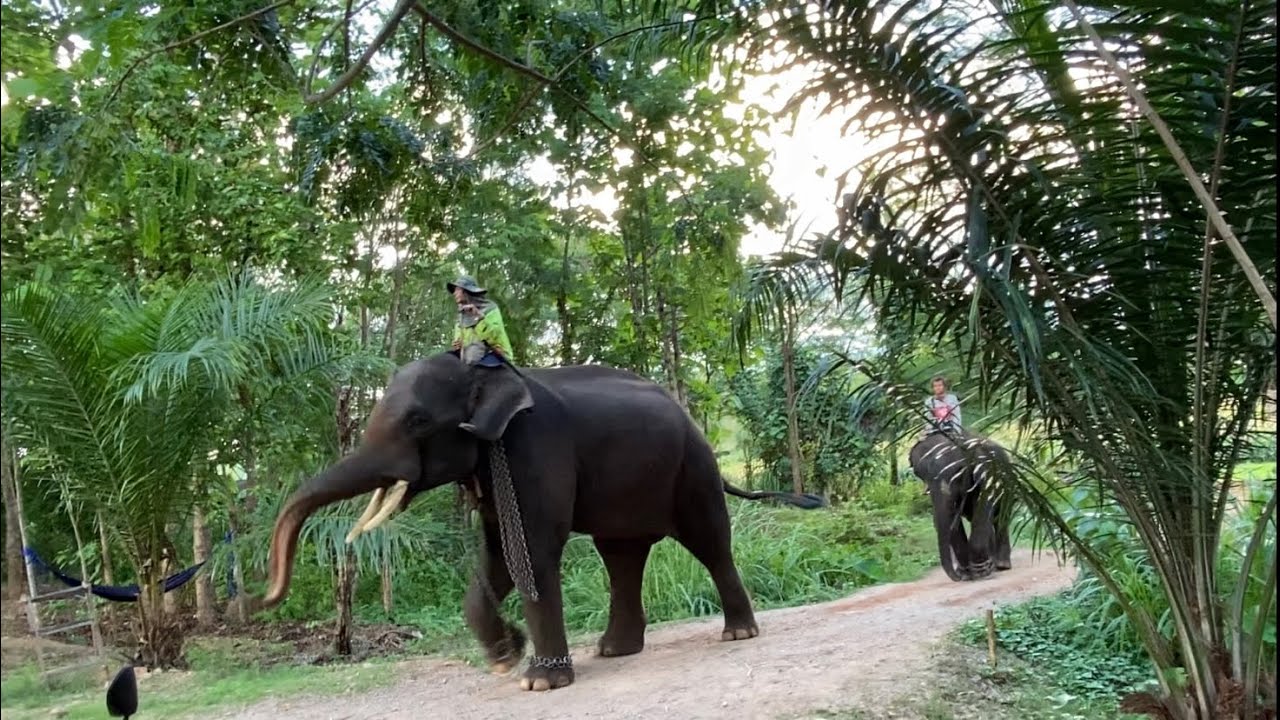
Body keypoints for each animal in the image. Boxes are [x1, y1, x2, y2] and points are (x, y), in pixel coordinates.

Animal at [259, 351, 822, 691]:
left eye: (418, 421)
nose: (268, 594)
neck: (486, 374)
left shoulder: (533, 448)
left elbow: (531, 549)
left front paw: (538, 682)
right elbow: (500, 553)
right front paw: (506, 656)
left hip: (695, 467)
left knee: (708, 541)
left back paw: (737, 635)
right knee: (621, 555)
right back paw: (615, 651)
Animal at [908, 431, 1014, 581]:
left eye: (959, 471)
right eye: (921, 474)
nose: (956, 577)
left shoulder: (986, 473)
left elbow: (981, 511)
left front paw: (980, 571)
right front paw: (966, 573)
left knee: (1000, 517)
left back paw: (1001, 565)